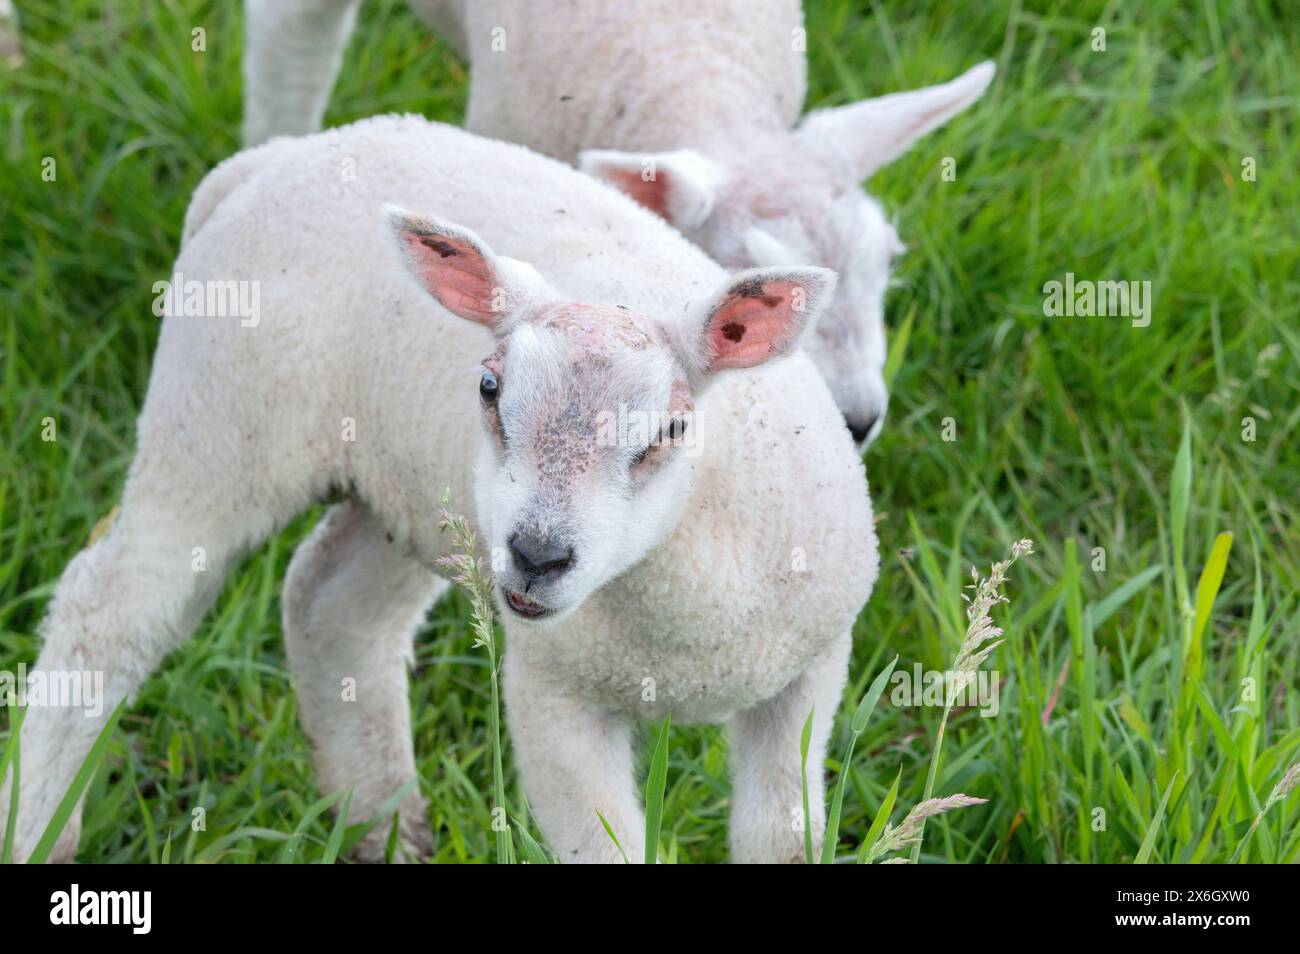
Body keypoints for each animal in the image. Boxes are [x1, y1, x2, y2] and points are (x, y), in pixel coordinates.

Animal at [0, 115, 877, 863]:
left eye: (670, 430)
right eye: (489, 389)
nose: (537, 555)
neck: (684, 616)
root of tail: (273, 160)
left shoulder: (808, 677)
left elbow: (783, 838)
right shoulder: (553, 698)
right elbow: (607, 847)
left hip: (409, 488)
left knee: (330, 607)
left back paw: (382, 825)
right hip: (221, 418)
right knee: (108, 614)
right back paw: (39, 827)